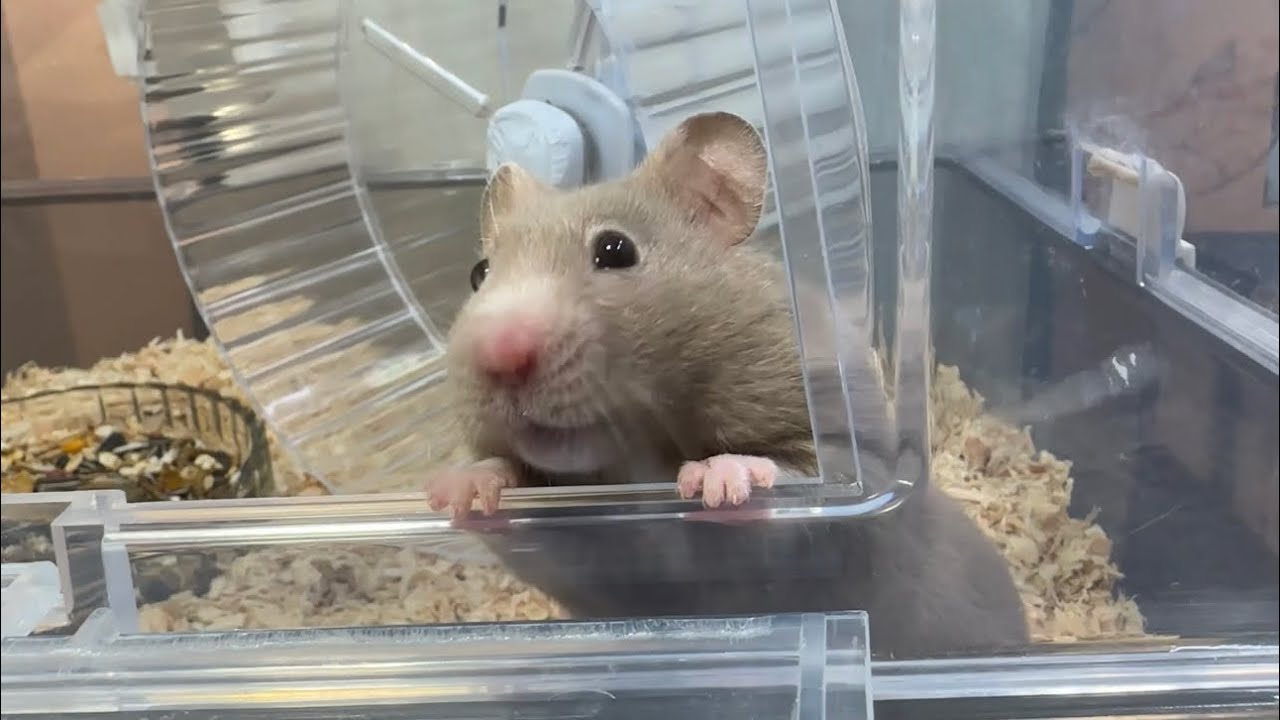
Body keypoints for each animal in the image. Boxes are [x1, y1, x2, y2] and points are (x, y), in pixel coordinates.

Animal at [424, 112, 1029, 658]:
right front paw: (458, 488)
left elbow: (790, 476)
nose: (497, 355)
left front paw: (712, 480)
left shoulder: (853, 471)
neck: (638, 453)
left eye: (615, 250)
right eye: (479, 273)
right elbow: (518, 506)